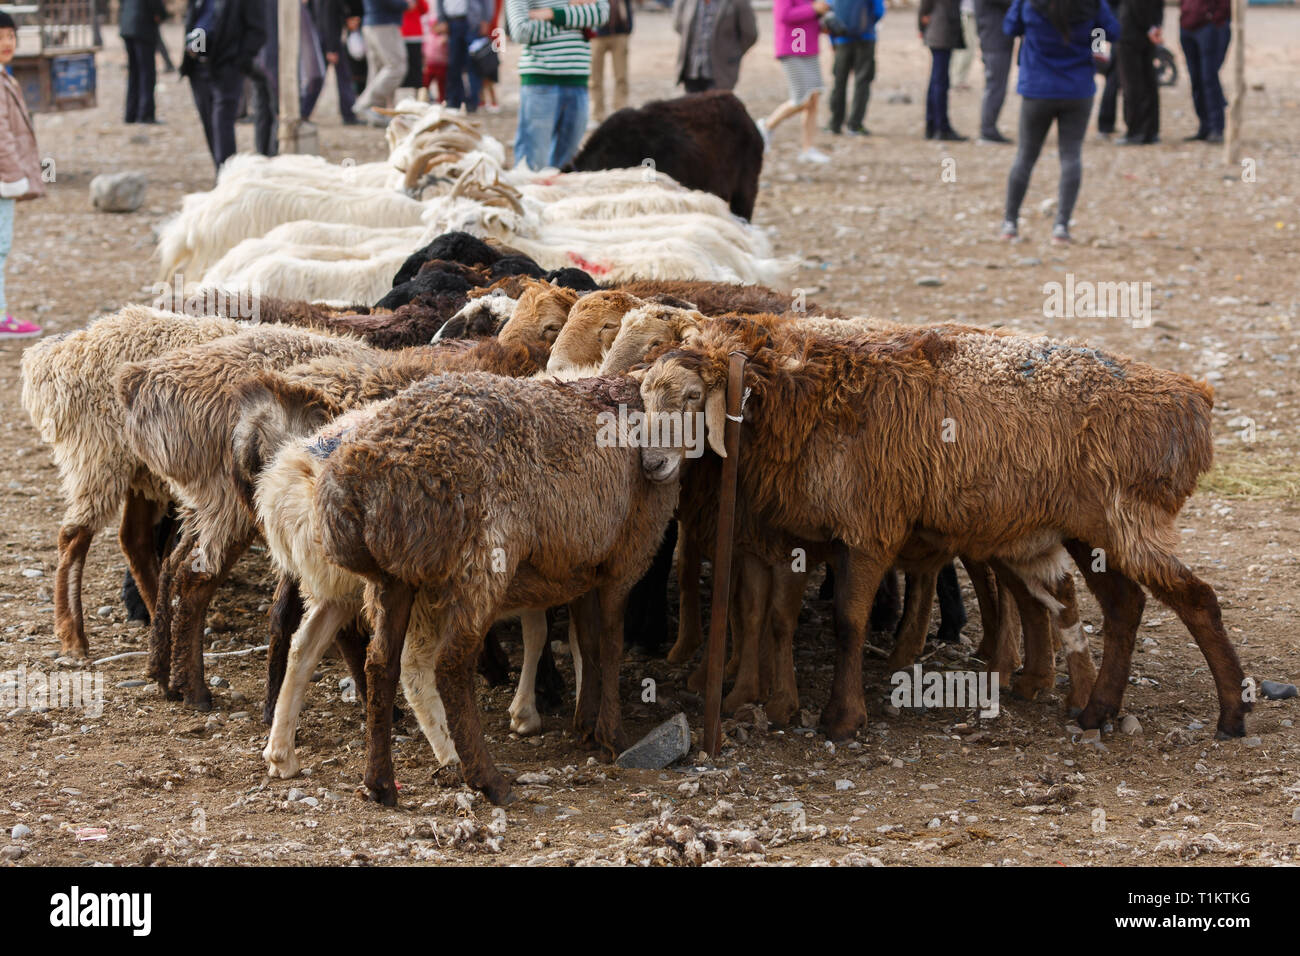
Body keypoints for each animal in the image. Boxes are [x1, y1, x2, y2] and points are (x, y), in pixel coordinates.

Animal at [19, 307, 244, 657]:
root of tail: (60, 350)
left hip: (145, 470)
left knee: (134, 539)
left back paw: (158, 622)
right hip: (100, 457)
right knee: (74, 537)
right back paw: (73, 637)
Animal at [313, 373, 681, 805]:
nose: (659, 462)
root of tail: (358, 480)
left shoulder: (583, 568)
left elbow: (588, 644)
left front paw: (587, 727)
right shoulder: (622, 562)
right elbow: (609, 646)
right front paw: (613, 736)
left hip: (394, 577)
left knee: (380, 663)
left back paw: (380, 782)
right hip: (481, 566)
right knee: (451, 666)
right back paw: (488, 780)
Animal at [636, 317, 1246, 740]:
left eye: (692, 398)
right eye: (641, 398)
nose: (651, 464)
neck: (798, 396)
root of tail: (1194, 399)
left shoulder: (869, 528)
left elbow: (848, 623)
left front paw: (843, 718)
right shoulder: (796, 535)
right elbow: (776, 619)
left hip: (1131, 519)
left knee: (1197, 599)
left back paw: (1232, 714)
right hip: (1091, 530)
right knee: (1124, 606)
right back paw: (1097, 710)